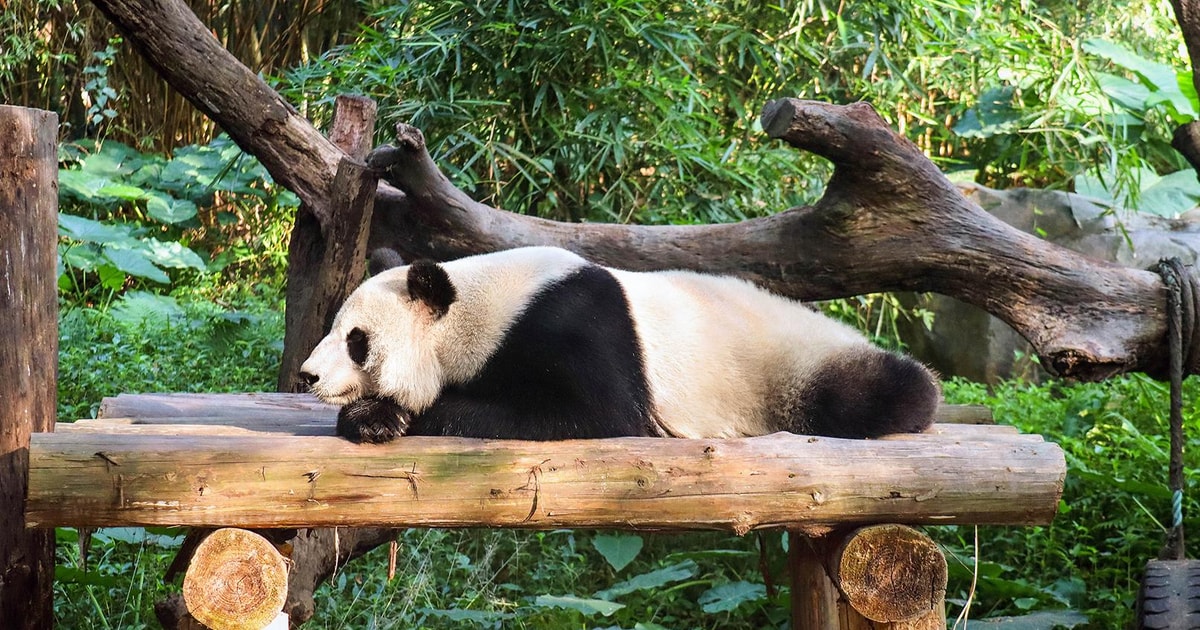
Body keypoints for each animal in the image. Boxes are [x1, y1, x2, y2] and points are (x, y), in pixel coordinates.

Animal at [298, 246, 940, 444]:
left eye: (356, 341)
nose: (307, 376)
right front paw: (375, 416)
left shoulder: (574, 324)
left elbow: (595, 413)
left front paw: (391, 415)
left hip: (787, 366)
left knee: (879, 391)